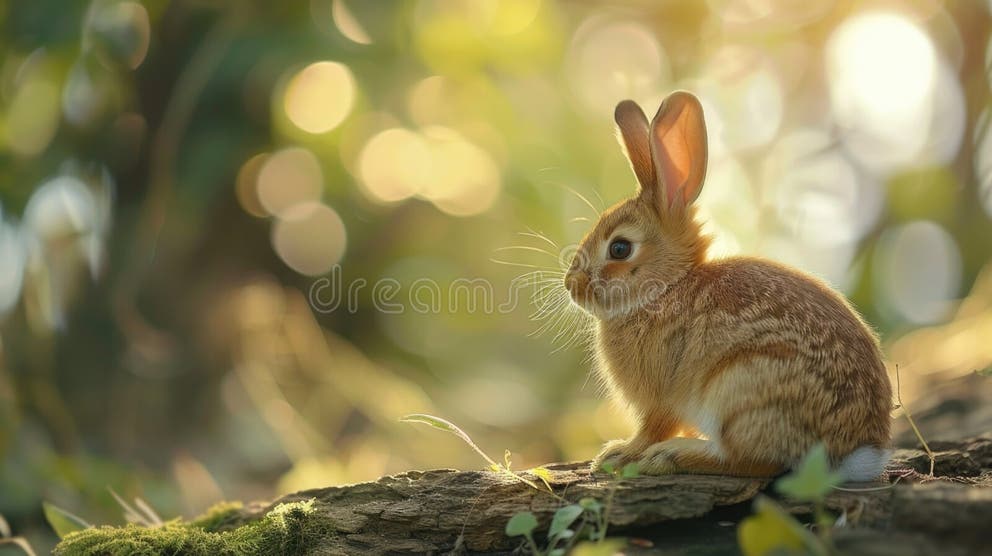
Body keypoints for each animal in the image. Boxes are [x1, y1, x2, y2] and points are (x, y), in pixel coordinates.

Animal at [563, 91, 892, 480]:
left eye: (619, 248)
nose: (571, 285)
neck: (668, 287)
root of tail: (853, 454)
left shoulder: (662, 398)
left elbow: (653, 427)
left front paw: (620, 454)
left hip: (739, 387)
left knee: (752, 461)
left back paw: (672, 456)